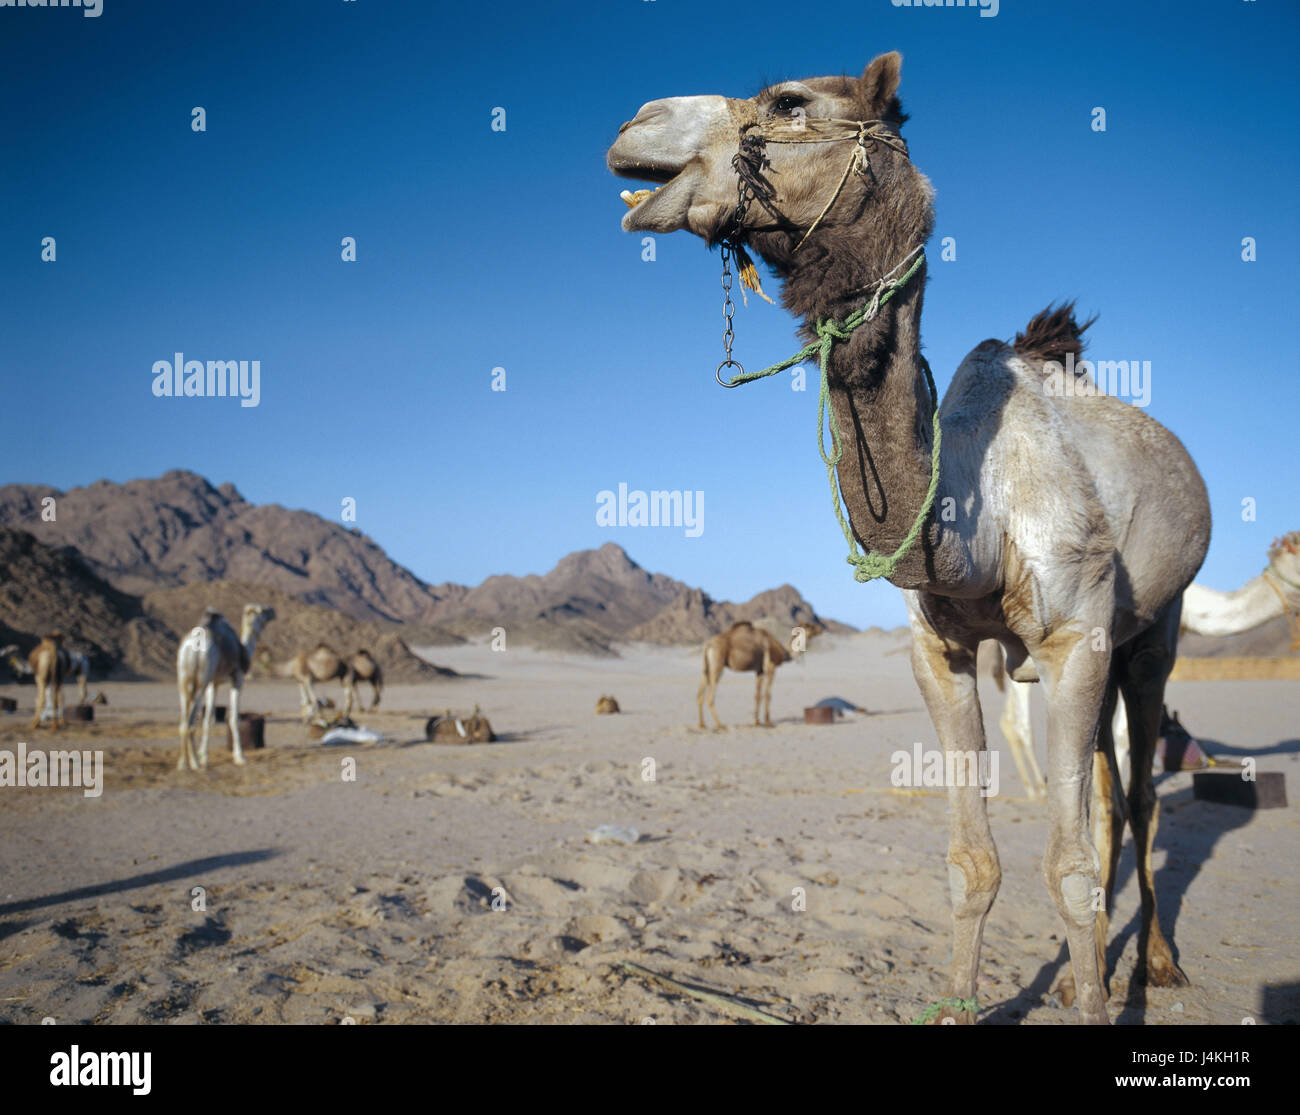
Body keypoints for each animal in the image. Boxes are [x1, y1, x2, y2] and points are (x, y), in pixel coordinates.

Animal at [176, 604, 275, 770]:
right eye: (262, 610)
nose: (273, 611)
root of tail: (192, 644)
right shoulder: (237, 679)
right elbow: (234, 718)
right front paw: (240, 757)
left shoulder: (213, 684)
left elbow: (208, 719)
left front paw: (204, 756)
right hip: (201, 680)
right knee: (189, 722)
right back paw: (194, 764)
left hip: (184, 679)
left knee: (184, 721)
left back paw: (183, 763)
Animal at [609, 53, 1212, 1024]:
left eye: (789, 101)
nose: (636, 124)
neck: (976, 514)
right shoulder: (942, 651)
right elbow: (974, 860)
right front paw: (968, 996)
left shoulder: (1074, 634)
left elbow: (1069, 867)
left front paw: (1092, 994)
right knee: (1112, 796)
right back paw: (1095, 971)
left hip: (1154, 628)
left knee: (1145, 792)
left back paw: (1155, 963)